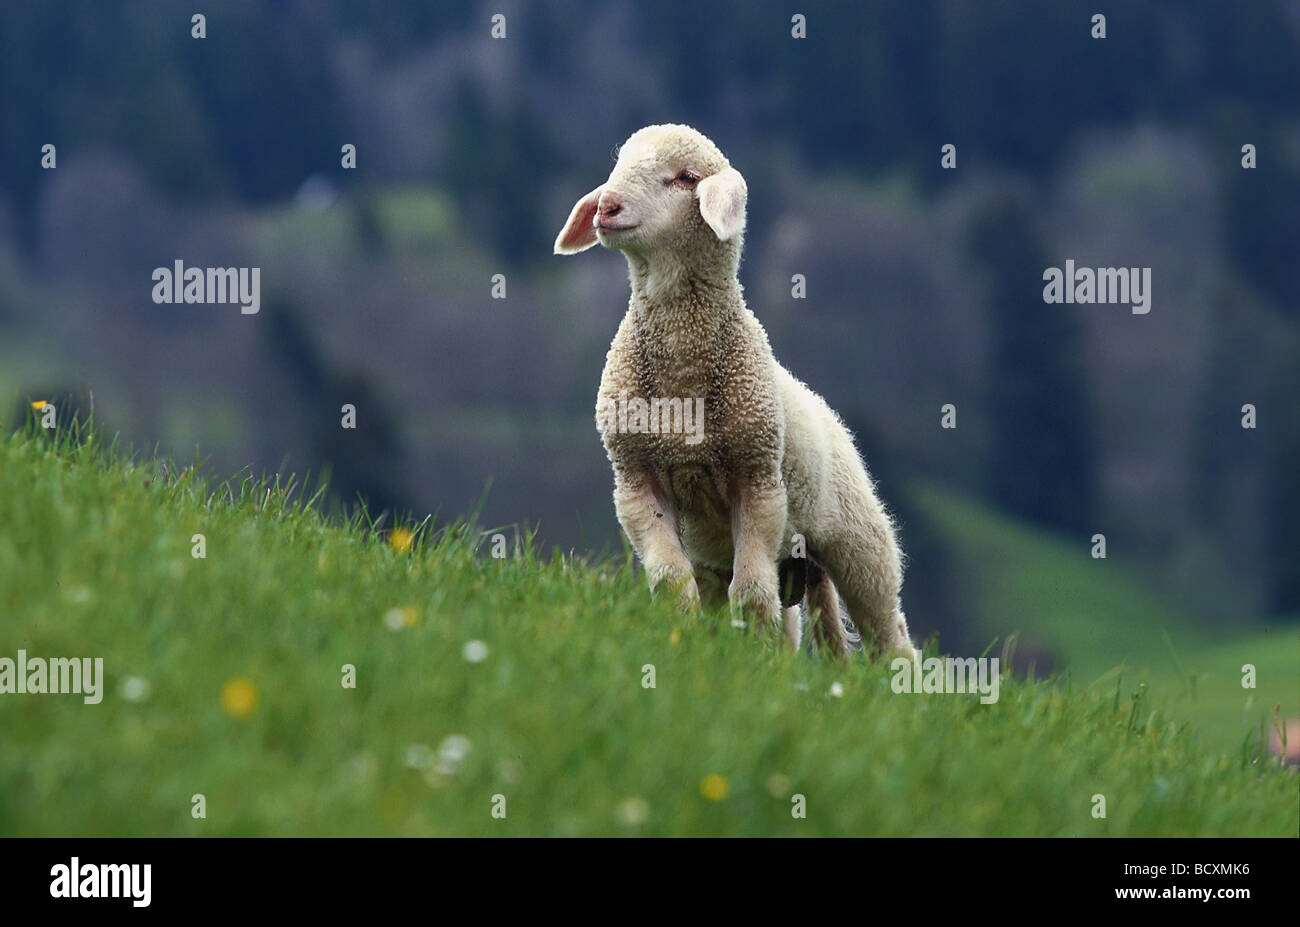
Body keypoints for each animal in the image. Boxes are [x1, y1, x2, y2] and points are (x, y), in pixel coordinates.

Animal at [554, 123, 917, 661]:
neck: (682, 384)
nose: (607, 205)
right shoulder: (636, 480)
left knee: (889, 630)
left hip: (860, 543)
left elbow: (749, 595)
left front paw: (752, 655)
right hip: (766, 561)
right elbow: (671, 580)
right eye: (618, 166)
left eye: (686, 177)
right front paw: (682, 637)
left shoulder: (758, 480)